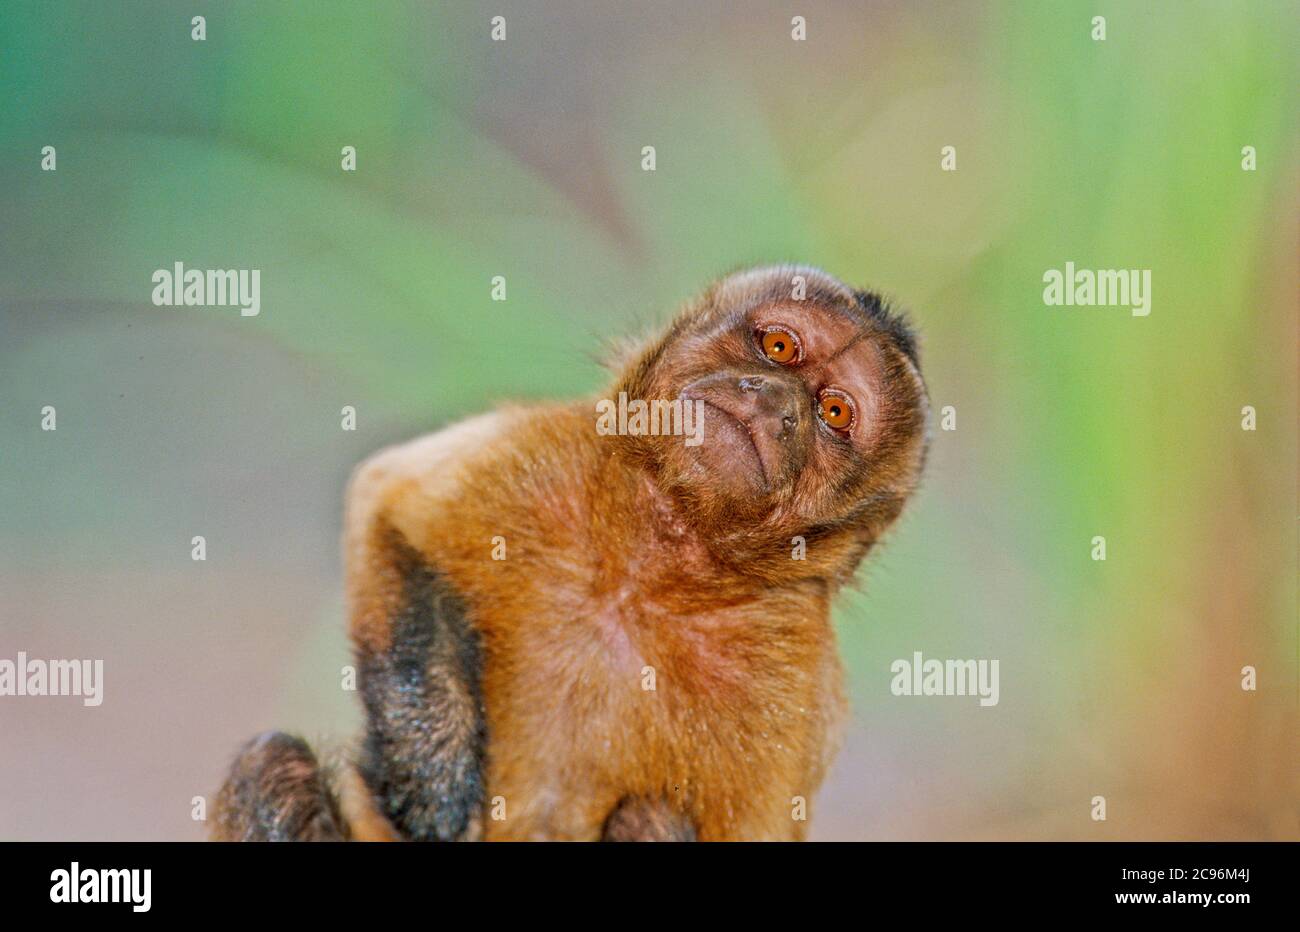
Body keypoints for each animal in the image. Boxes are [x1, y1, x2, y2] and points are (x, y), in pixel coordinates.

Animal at [211, 264, 929, 841]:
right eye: (779, 347)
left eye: (834, 412)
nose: (777, 399)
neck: (650, 568)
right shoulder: (551, 454)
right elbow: (385, 505)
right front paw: (431, 780)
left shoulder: (792, 678)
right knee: (272, 763)